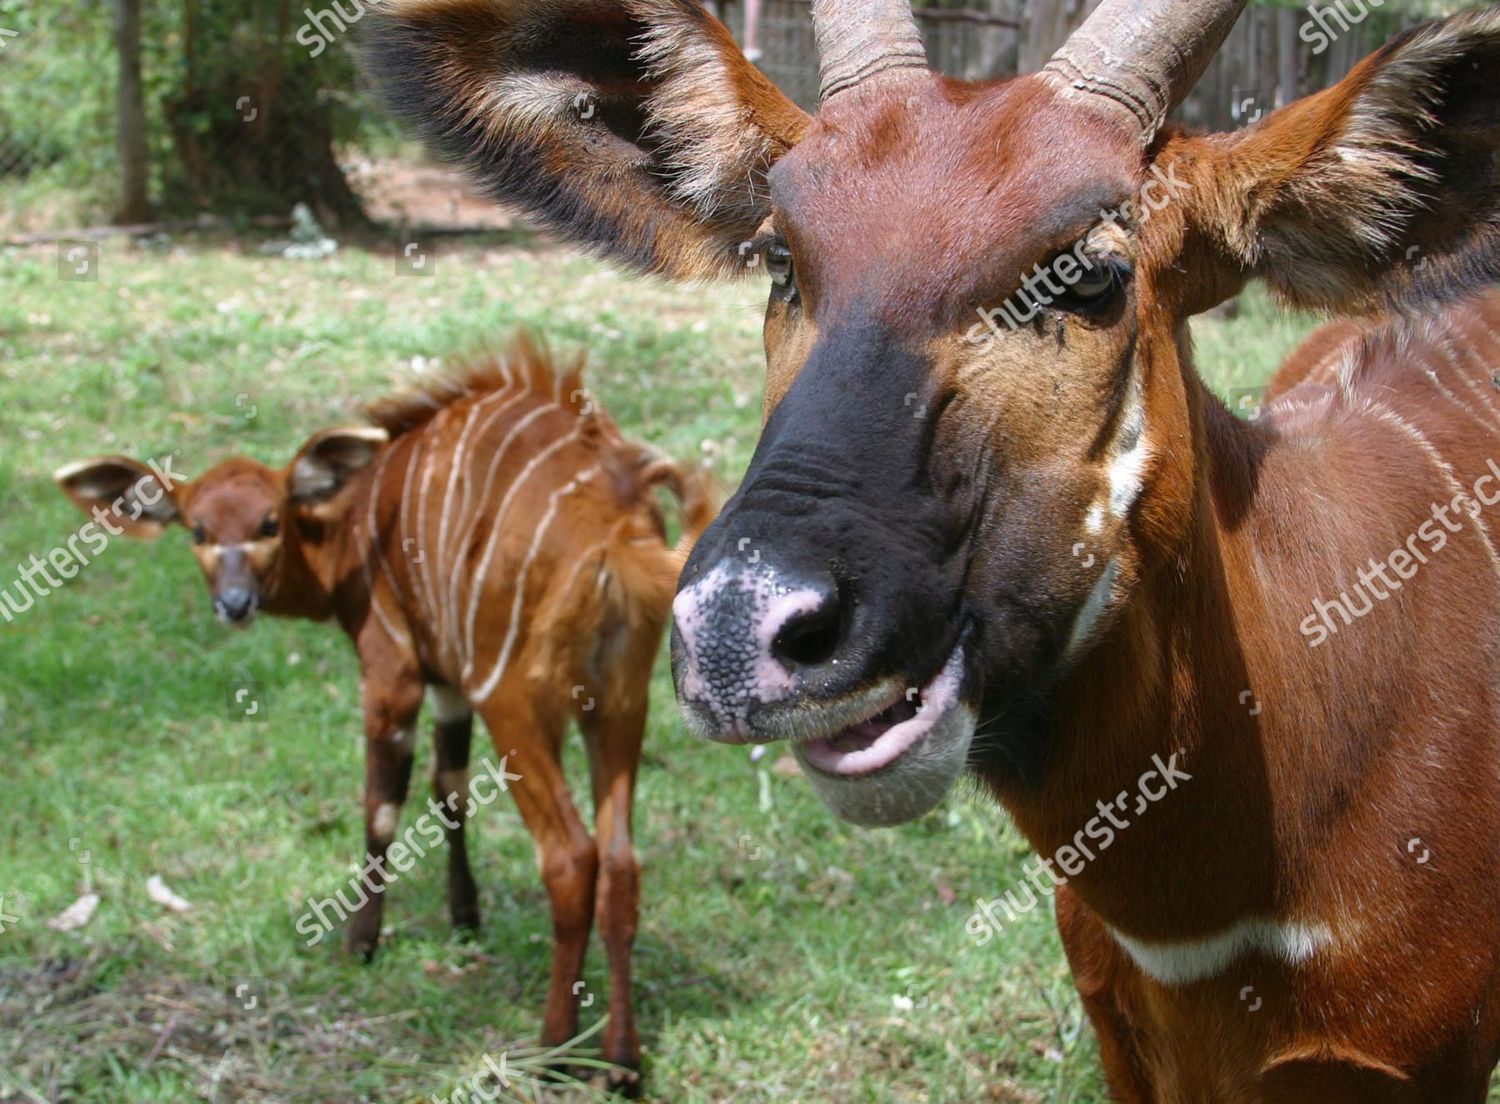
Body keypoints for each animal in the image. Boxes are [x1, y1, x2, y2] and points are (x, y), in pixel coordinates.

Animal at [55, 337, 714, 1092]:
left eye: (268, 523)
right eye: (198, 529)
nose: (234, 604)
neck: (352, 527)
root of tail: (621, 533)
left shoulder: (392, 669)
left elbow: (381, 805)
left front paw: (361, 942)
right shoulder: (450, 682)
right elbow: (449, 790)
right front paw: (465, 916)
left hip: (517, 700)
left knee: (572, 858)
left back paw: (552, 1051)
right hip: (620, 702)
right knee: (623, 863)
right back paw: (623, 1063)